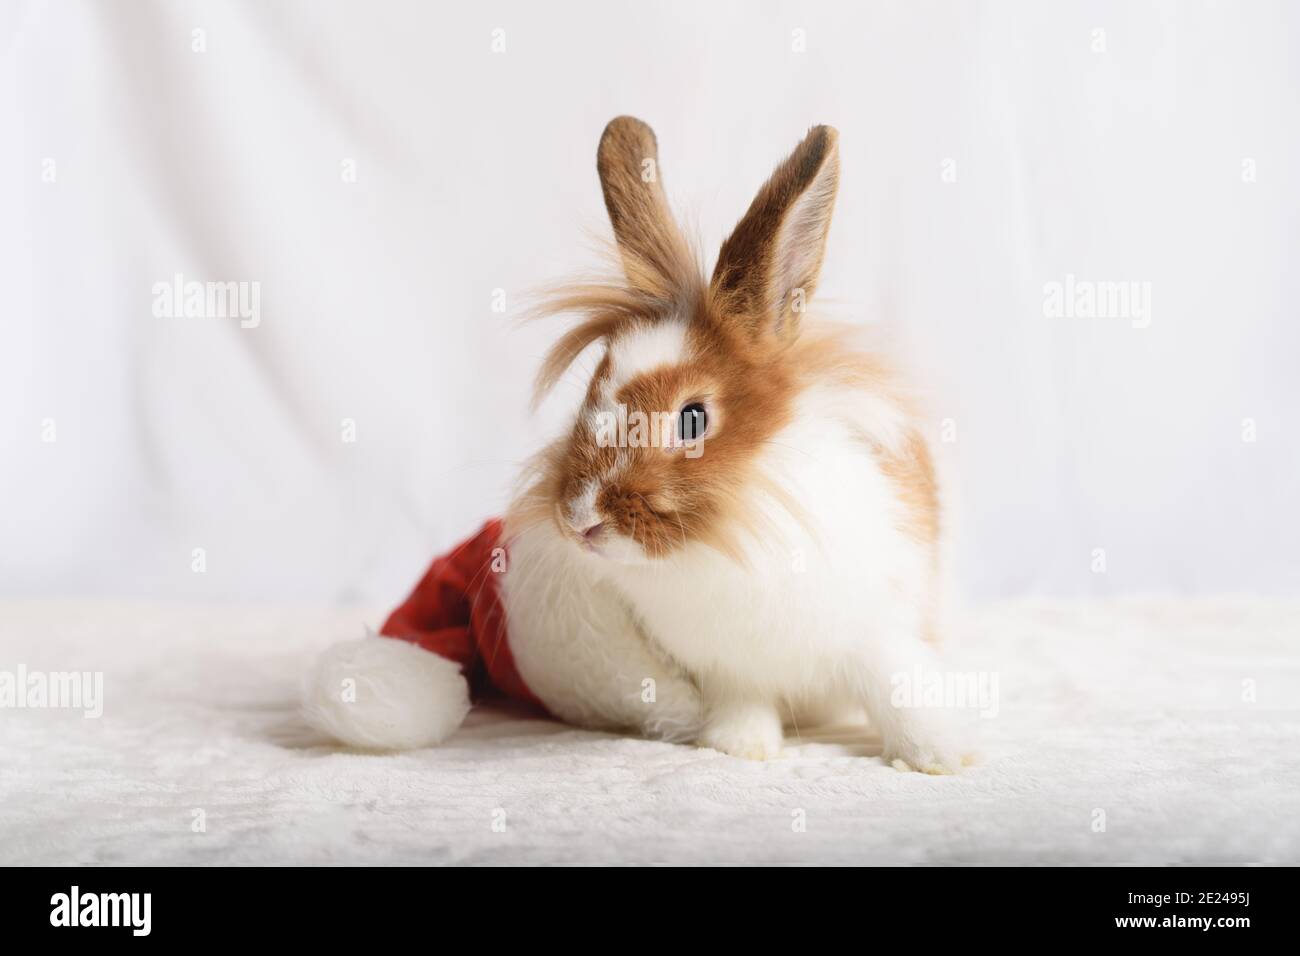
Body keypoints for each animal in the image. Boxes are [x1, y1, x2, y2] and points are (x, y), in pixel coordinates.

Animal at [304, 117, 969, 772]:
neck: (741, 524)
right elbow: (745, 700)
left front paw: (945, 756)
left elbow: (896, 686)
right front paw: (740, 746)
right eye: (588, 395)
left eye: (694, 420)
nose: (579, 519)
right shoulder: (727, 667)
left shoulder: (878, 629)